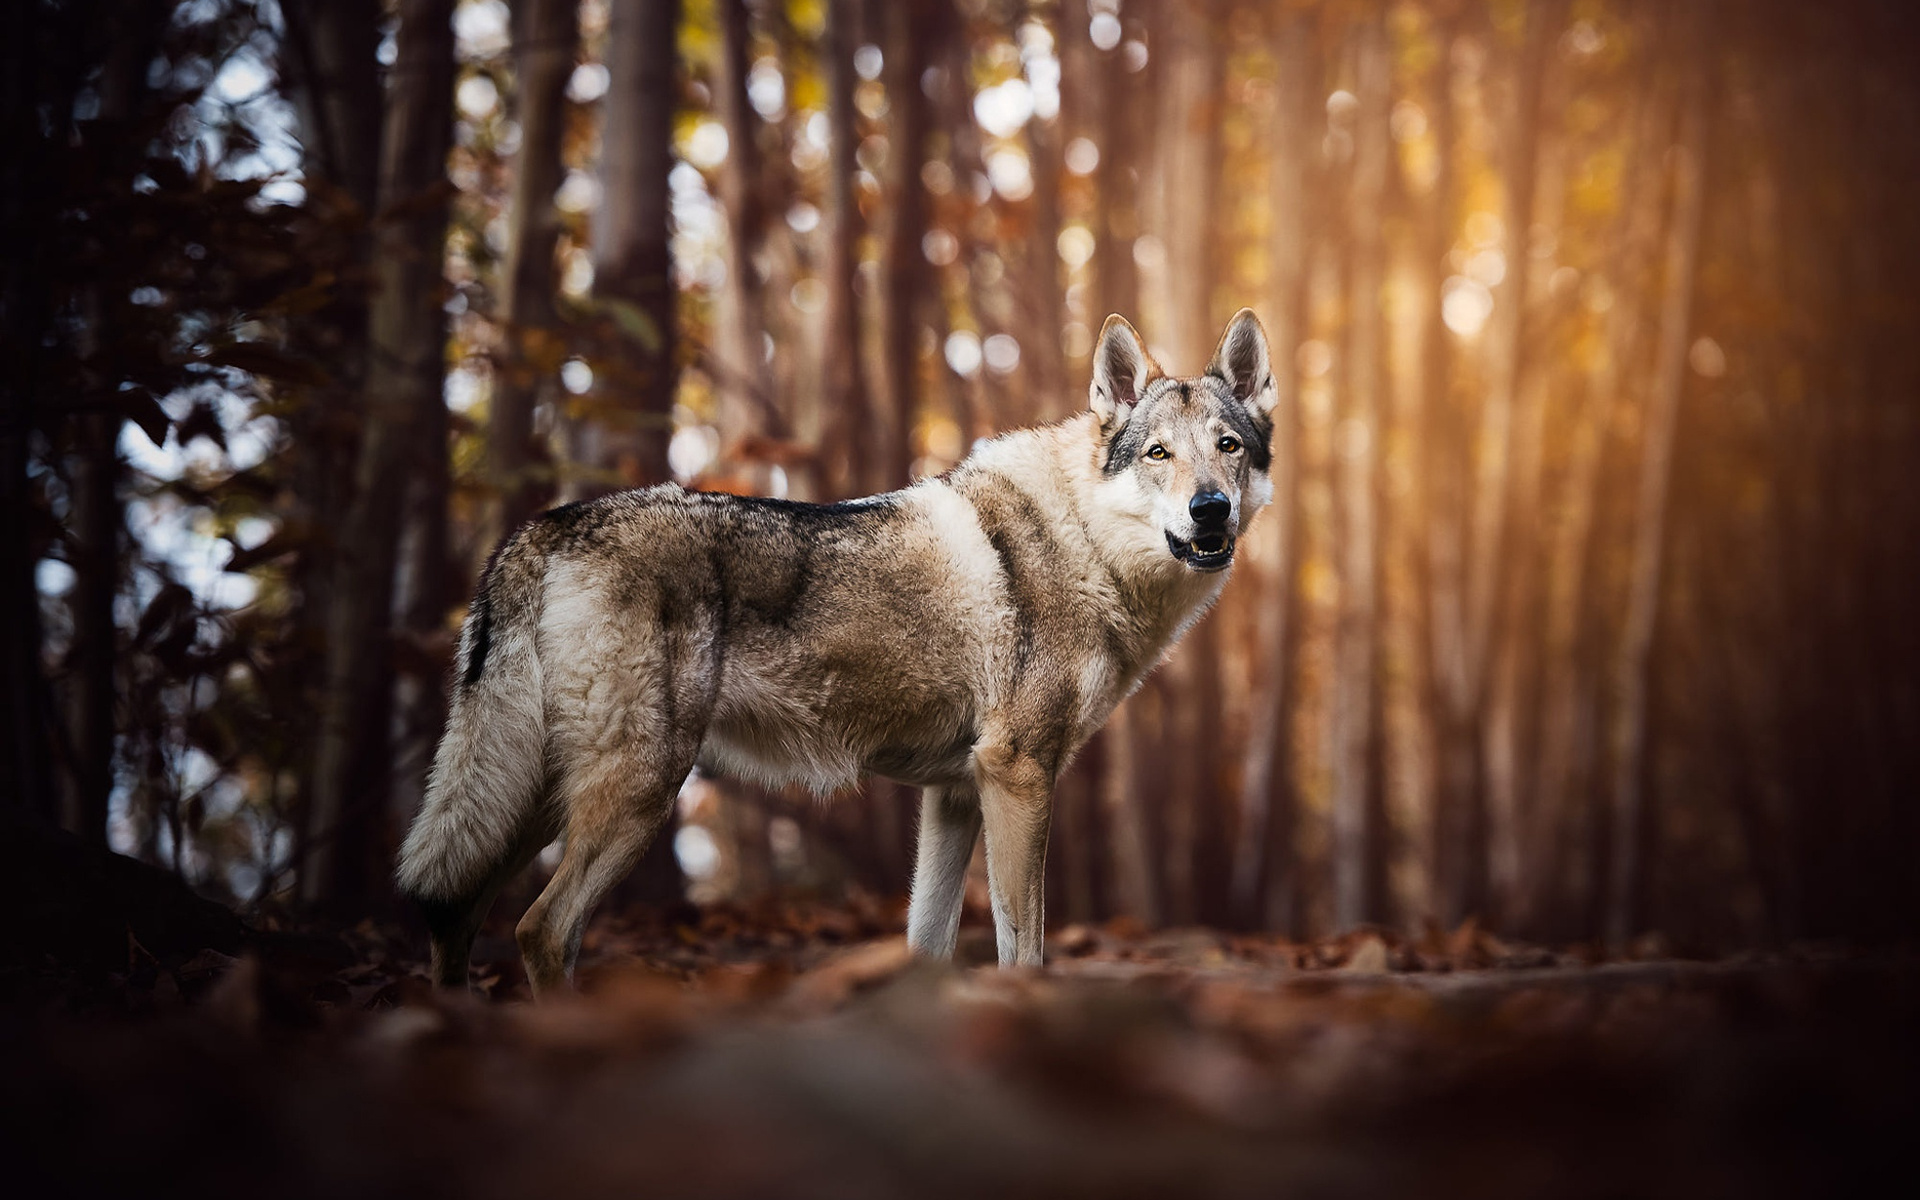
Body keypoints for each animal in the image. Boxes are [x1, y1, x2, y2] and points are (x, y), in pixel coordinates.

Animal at [396, 309, 1278, 993]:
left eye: (1229, 446)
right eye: (1159, 454)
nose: (1210, 510)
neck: (1085, 542)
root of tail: (543, 528)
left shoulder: (956, 793)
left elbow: (928, 944)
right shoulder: (1017, 773)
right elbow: (1021, 947)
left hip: (537, 797)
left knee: (453, 914)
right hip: (636, 791)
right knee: (540, 929)